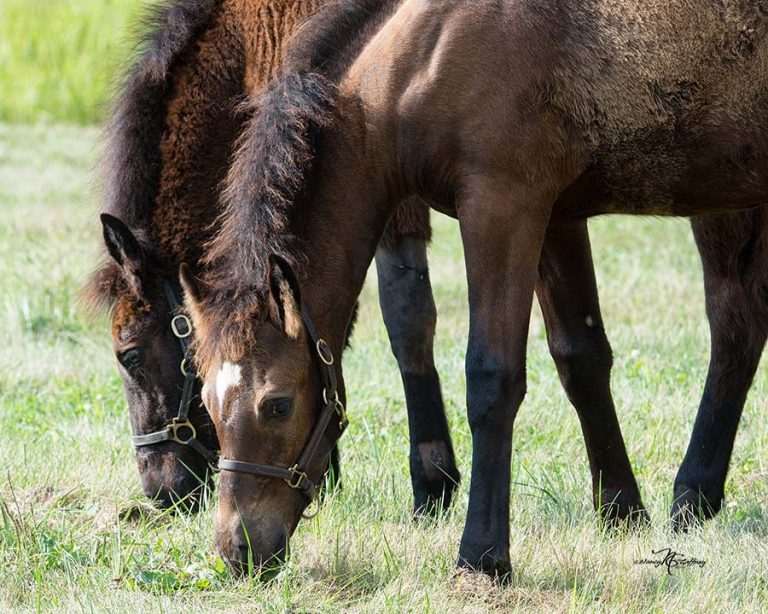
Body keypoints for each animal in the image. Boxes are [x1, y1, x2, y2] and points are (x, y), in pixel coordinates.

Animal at [84, 0, 459, 514]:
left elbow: (407, 321)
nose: (161, 493)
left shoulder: (388, 198)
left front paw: (433, 480)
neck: (251, 40)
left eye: (131, 355)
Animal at [181, 0, 768, 576]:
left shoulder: (501, 207)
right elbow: (581, 360)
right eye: (206, 404)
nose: (236, 551)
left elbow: (492, 378)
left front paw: (483, 556)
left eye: (277, 405)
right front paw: (622, 513)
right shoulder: (556, 218)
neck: (423, 54)